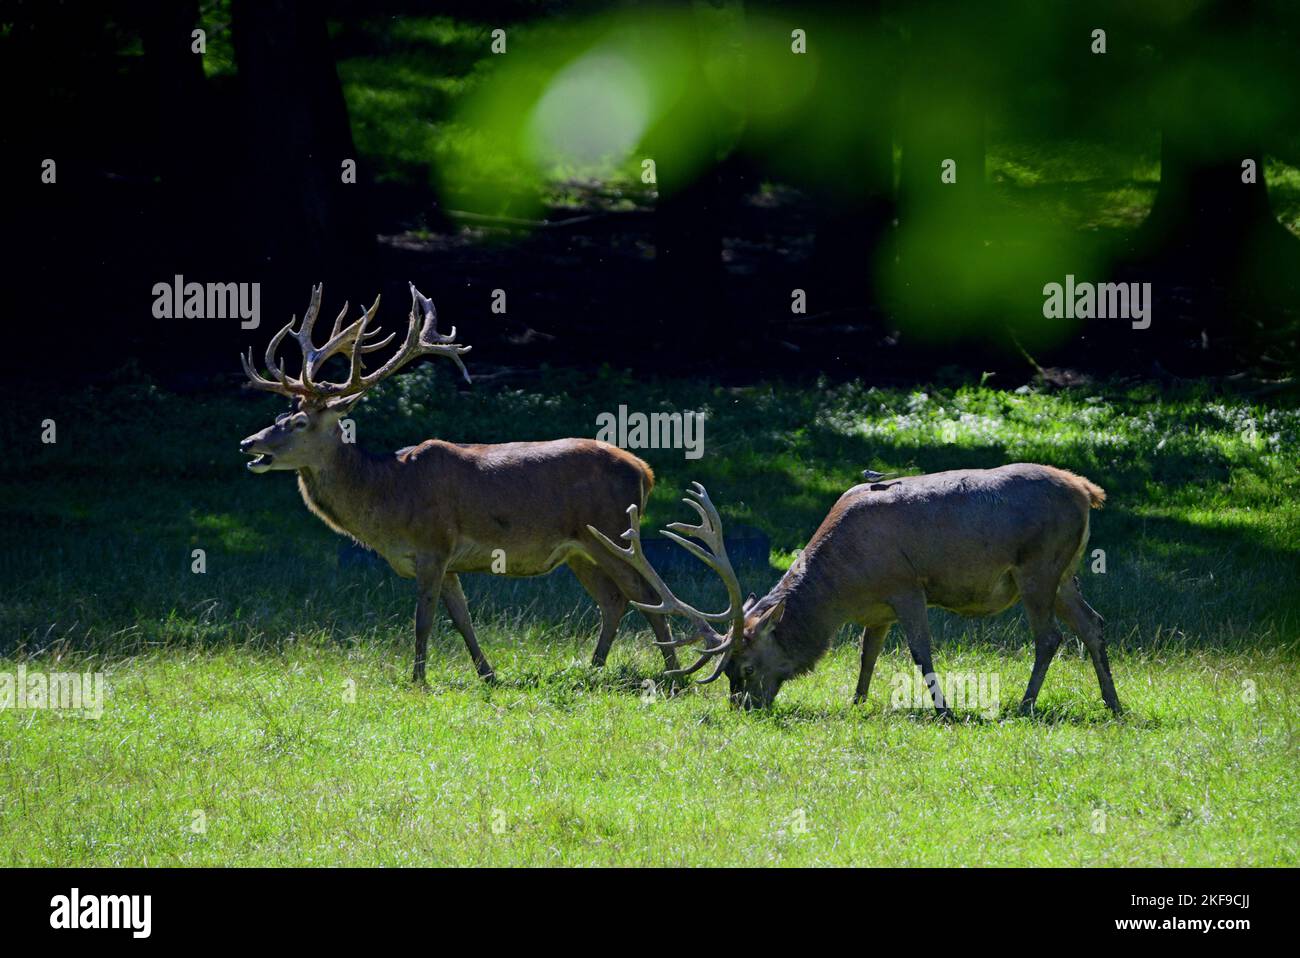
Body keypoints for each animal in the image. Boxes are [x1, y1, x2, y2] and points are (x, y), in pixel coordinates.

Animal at [238, 283, 682, 684]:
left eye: (299, 422)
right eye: (279, 415)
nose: (249, 443)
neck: (386, 498)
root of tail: (645, 471)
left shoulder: (433, 545)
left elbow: (423, 620)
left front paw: (418, 680)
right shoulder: (446, 561)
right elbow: (462, 618)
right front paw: (487, 674)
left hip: (611, 532)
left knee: (647, 596)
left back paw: (674, 674)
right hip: (580, 550)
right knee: (614, 600)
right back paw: (594, 668)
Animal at [589, 467, 1122, 717]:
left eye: (744, 667)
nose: (743, 706)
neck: (843, 587)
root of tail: (1087, 490)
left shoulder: (907, 586)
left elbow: (921, 653)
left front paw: (945, 710)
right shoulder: (877, 609)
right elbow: (867, 657)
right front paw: (857, 704)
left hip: (1038, 567)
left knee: (1050, 637)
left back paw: (1025, 705)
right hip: (1065, 574)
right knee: (1093, 624)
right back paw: (1114, 704)